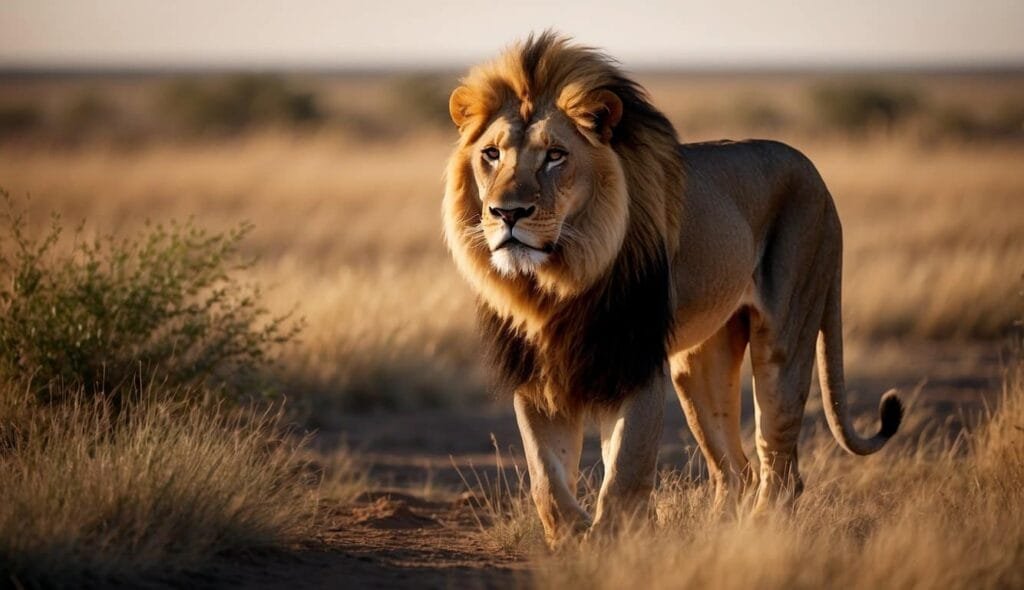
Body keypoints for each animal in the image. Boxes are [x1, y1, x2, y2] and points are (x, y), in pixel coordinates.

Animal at [443, 32, 903, 546]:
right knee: (734, 470)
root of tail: (815, 173)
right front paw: (571, 535)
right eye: (492, 154)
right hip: (699, 362)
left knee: (779, 463)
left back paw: (760, 533)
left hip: (785, 334)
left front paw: (610, 541)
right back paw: (719, 534)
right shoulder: (539, 374)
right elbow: (547, 476)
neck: (556, 284)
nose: (507, 213)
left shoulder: (635, 360)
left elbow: (624, 470)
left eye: (555, 155)